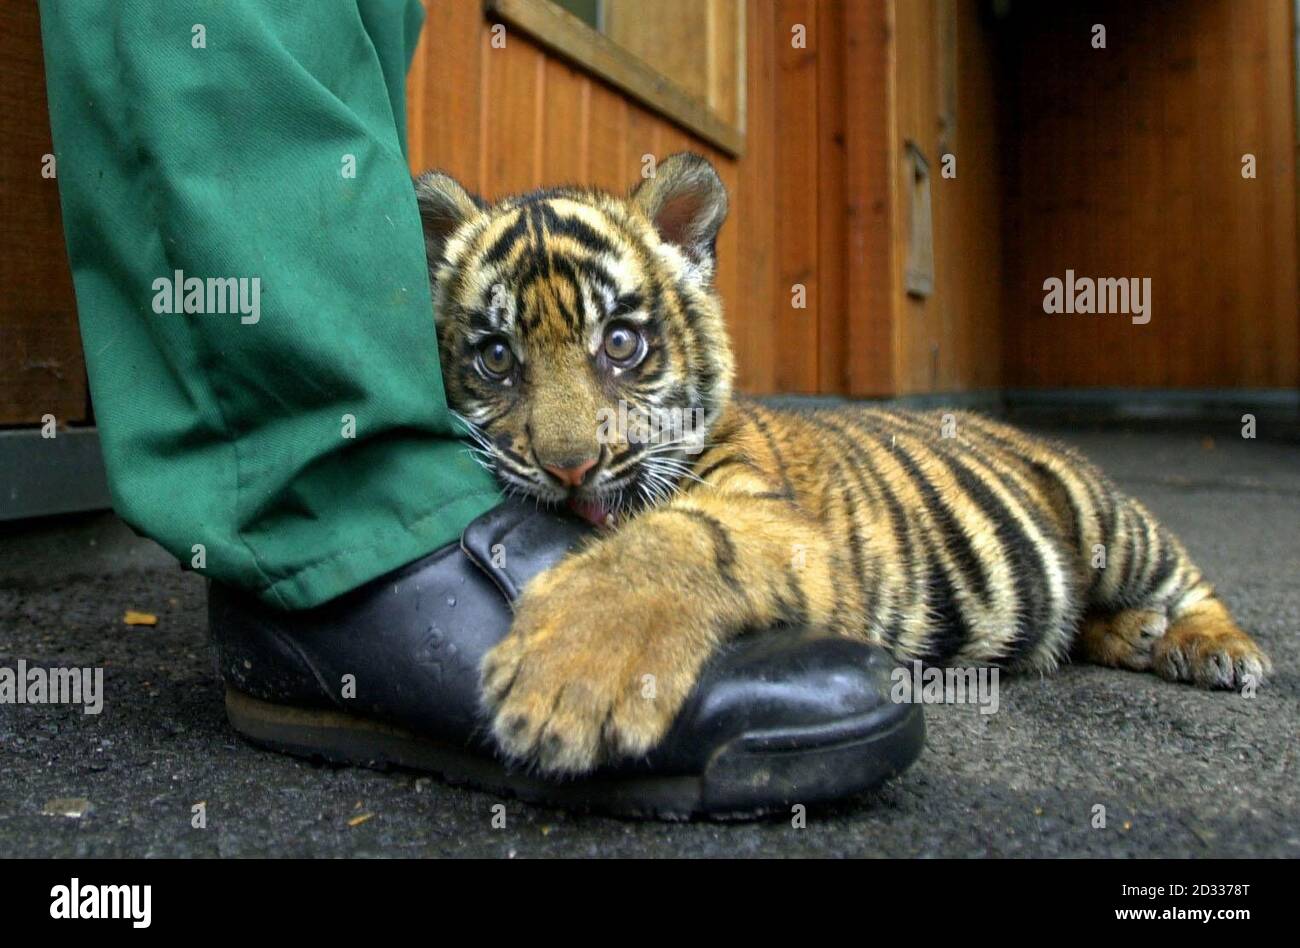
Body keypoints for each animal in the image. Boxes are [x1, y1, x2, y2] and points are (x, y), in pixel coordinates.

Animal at [414, 152, 1272, 776]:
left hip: (1111, 523)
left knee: (1186, 578)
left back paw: (1213, 649)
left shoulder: (780, 521)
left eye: (621, 344)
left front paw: (568, 676)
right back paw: (1133, 634)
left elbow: (681, 538)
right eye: (496, 359)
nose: (570, 469)